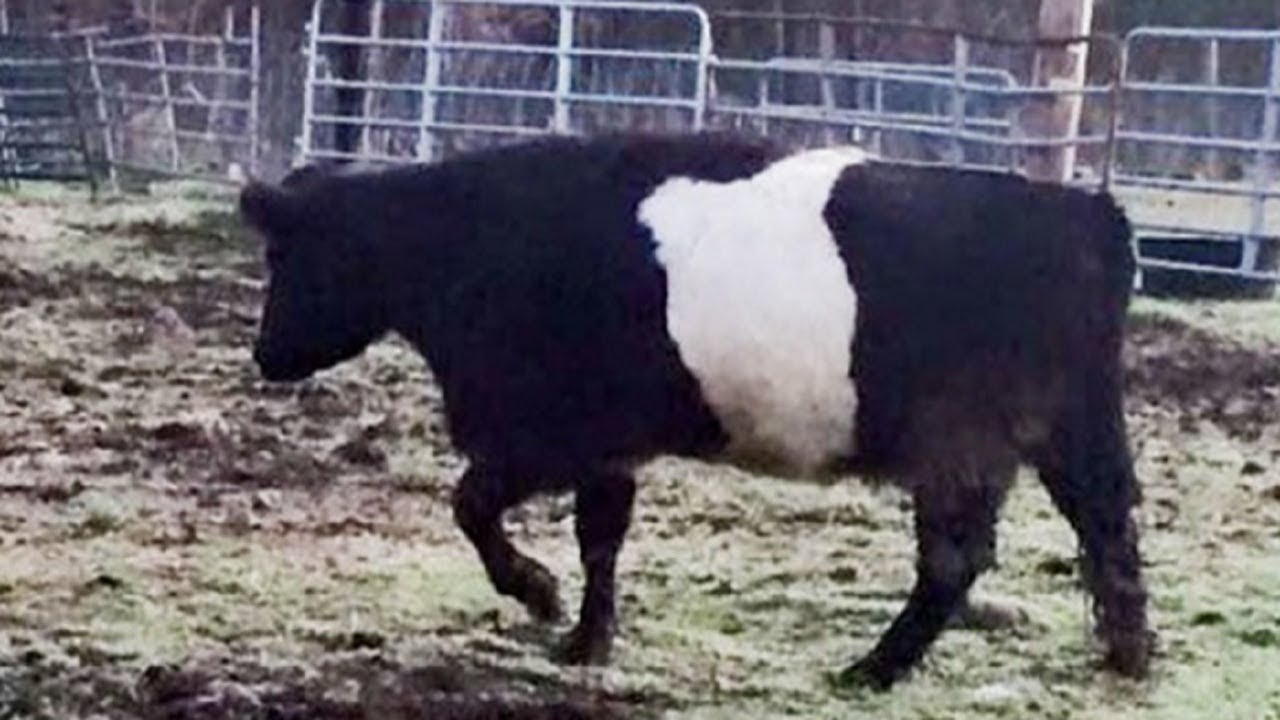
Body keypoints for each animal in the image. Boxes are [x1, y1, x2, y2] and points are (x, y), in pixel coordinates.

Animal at [238, 131, 1152, 690]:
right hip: (1070, 433)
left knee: (957, 560)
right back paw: (1127, 656)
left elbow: (472, 506)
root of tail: (1081, 212)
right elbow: (600, 538)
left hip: (960, 446)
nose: (265, 354)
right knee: (1107, 530)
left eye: (288, 253)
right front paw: (587, 640)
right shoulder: (608, 449)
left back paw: (872, 669)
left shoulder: (547, 434)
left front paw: (539, 596)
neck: (471, 245)